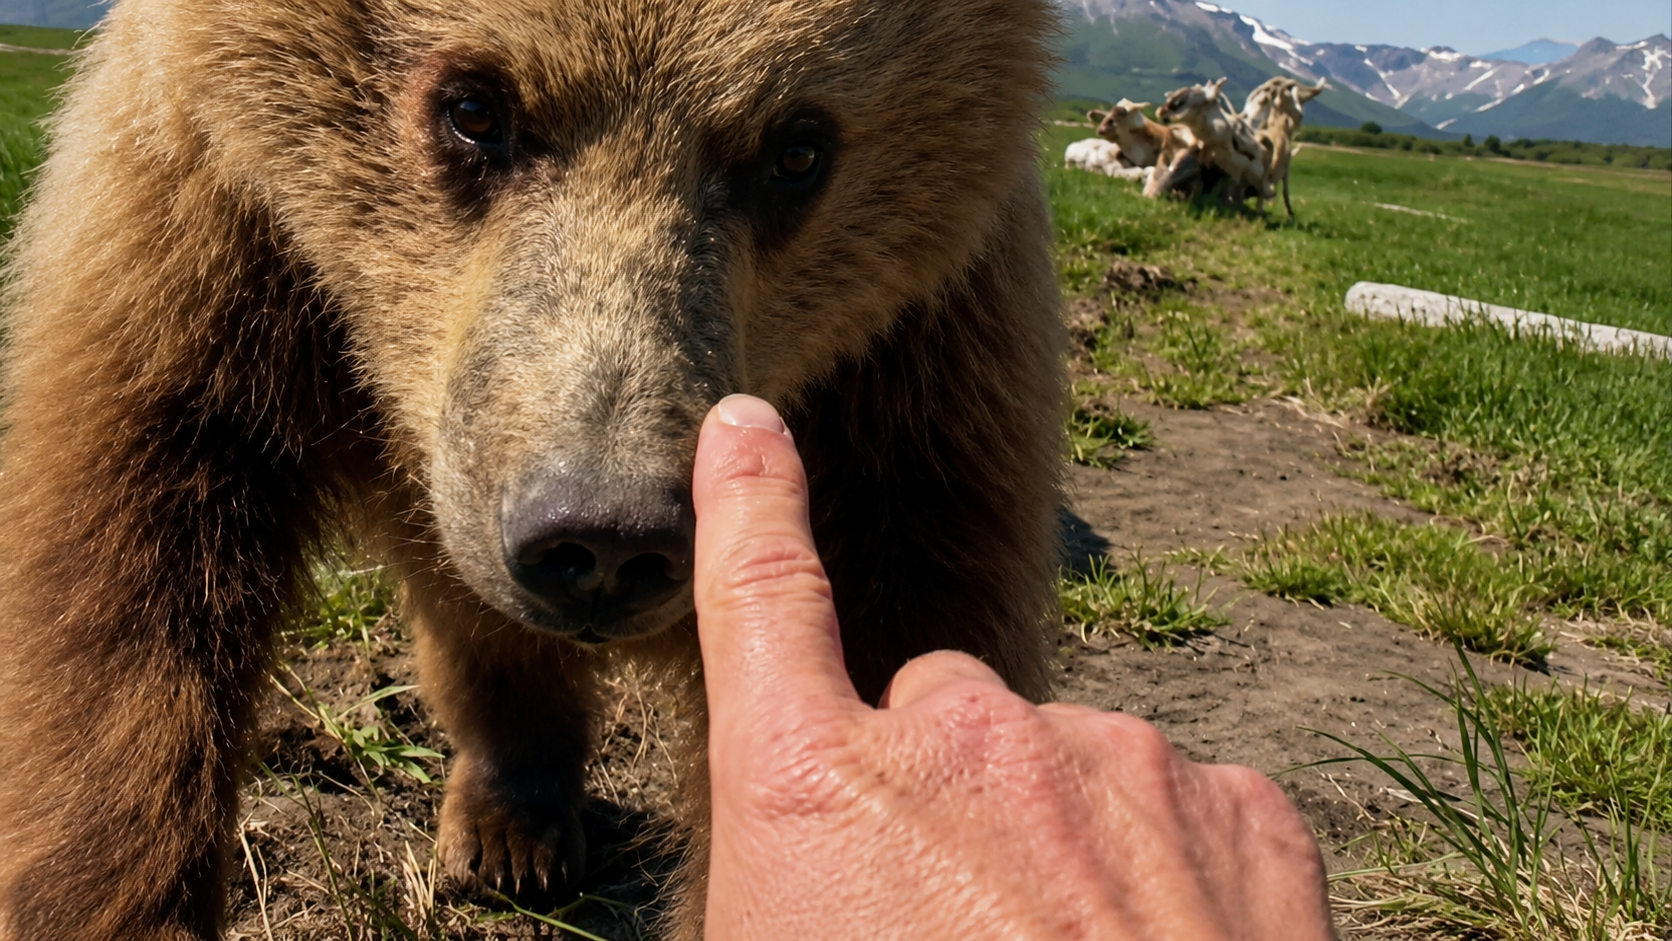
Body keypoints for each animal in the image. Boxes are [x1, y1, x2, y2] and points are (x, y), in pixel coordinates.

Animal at [0, 0, 1065, 938]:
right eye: (474, 107)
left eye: (797, 149)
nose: (602, 535)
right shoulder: (206, 242)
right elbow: (121, 576)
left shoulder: (908, 381)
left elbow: (910, 604)